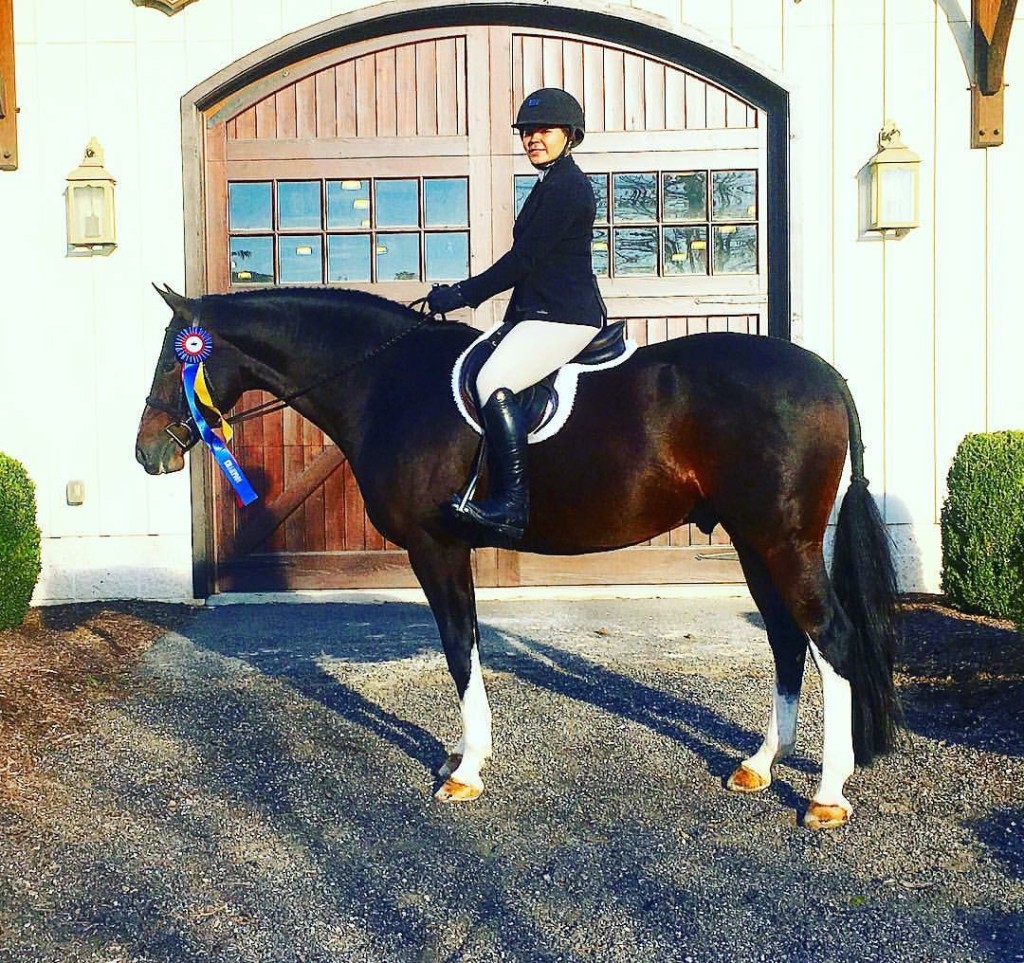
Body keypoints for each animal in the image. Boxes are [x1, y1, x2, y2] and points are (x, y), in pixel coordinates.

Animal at [136, 285, 901, 829]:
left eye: (177, 354)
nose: (148, 454)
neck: (387, 382)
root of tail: (826, 374)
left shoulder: (437, 548)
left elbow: (459, 646)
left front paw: (465, 769)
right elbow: (466, 644)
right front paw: (463, 753)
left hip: (782, 541)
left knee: (830, 638)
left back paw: (827, 794)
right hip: (753, 541)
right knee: (785, 639)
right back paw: (760, 765)